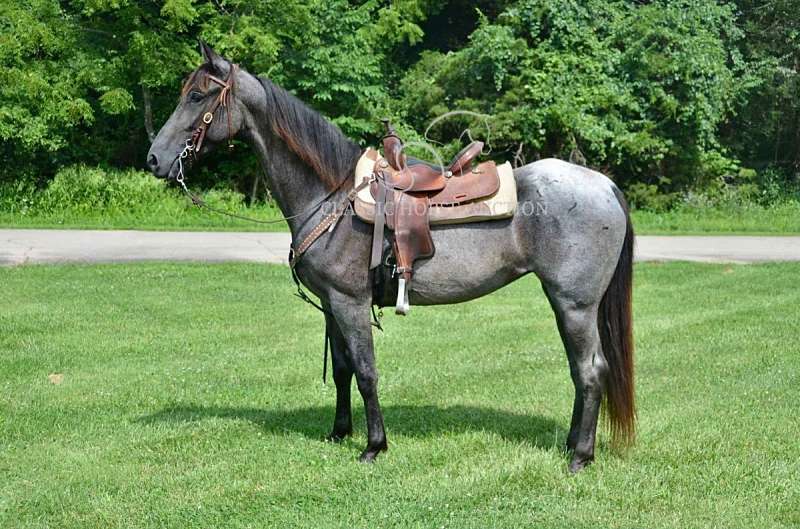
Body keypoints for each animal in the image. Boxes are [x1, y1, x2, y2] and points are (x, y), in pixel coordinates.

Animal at [146, 42, 635, 473]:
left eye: (196, 95)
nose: (153, 159)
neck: (331, 195)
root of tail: (605, 185)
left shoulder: (350, 302)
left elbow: (366, 372)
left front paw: (373, 445)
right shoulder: (332, 305)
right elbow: (342, 369)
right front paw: (339, 432)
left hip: (574, 304)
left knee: (590, 371)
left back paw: (580, 456)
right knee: (579, 371)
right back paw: (573, 444)